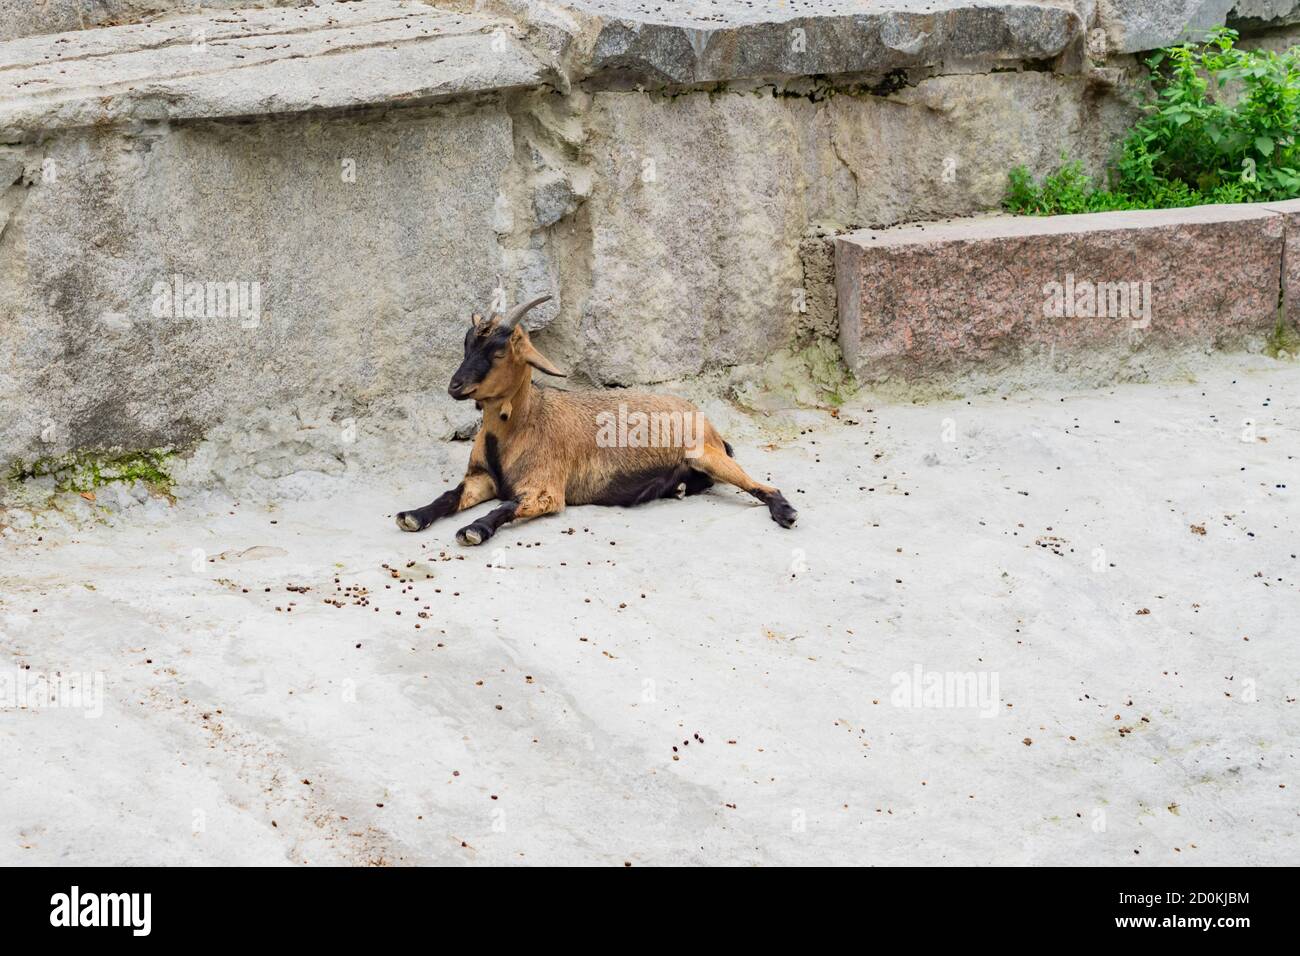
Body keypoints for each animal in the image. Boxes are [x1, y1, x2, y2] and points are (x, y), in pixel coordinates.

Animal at [395, 295, 798, 545]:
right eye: (466, 344)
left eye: (497, 351)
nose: (455, 385)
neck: (523, 424)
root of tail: (703, 417)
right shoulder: (482, 478)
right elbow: (449, 496)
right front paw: (413, 515)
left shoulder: (546, 490)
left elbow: (506, 507)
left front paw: (474, 530)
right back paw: (679, 487)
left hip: (708, 454)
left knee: (762, 485)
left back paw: (786, 513)